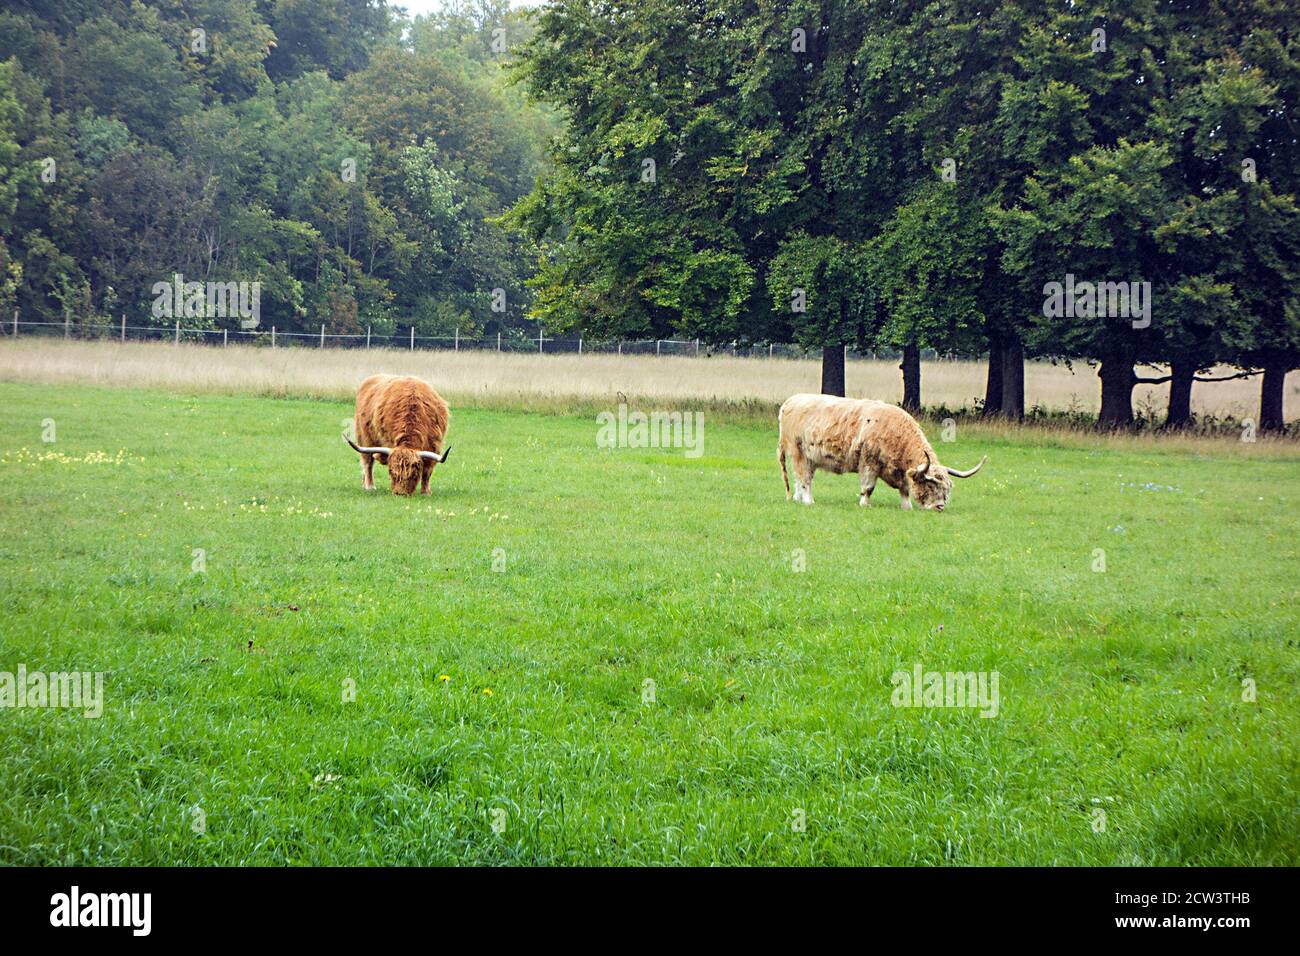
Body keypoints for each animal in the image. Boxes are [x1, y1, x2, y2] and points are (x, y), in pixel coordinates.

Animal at [777, 393, 984, 511]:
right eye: (931, 485)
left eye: (947, 488)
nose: (939, 506)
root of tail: (790, 401)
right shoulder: (869, 463)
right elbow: (868, 487)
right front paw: (864, 504)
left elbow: (904, 489)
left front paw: (907, 507)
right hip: (800, 453)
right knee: (804, 479)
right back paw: (808, 501)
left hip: (809, 458)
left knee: (799, 478)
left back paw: (797, 499)